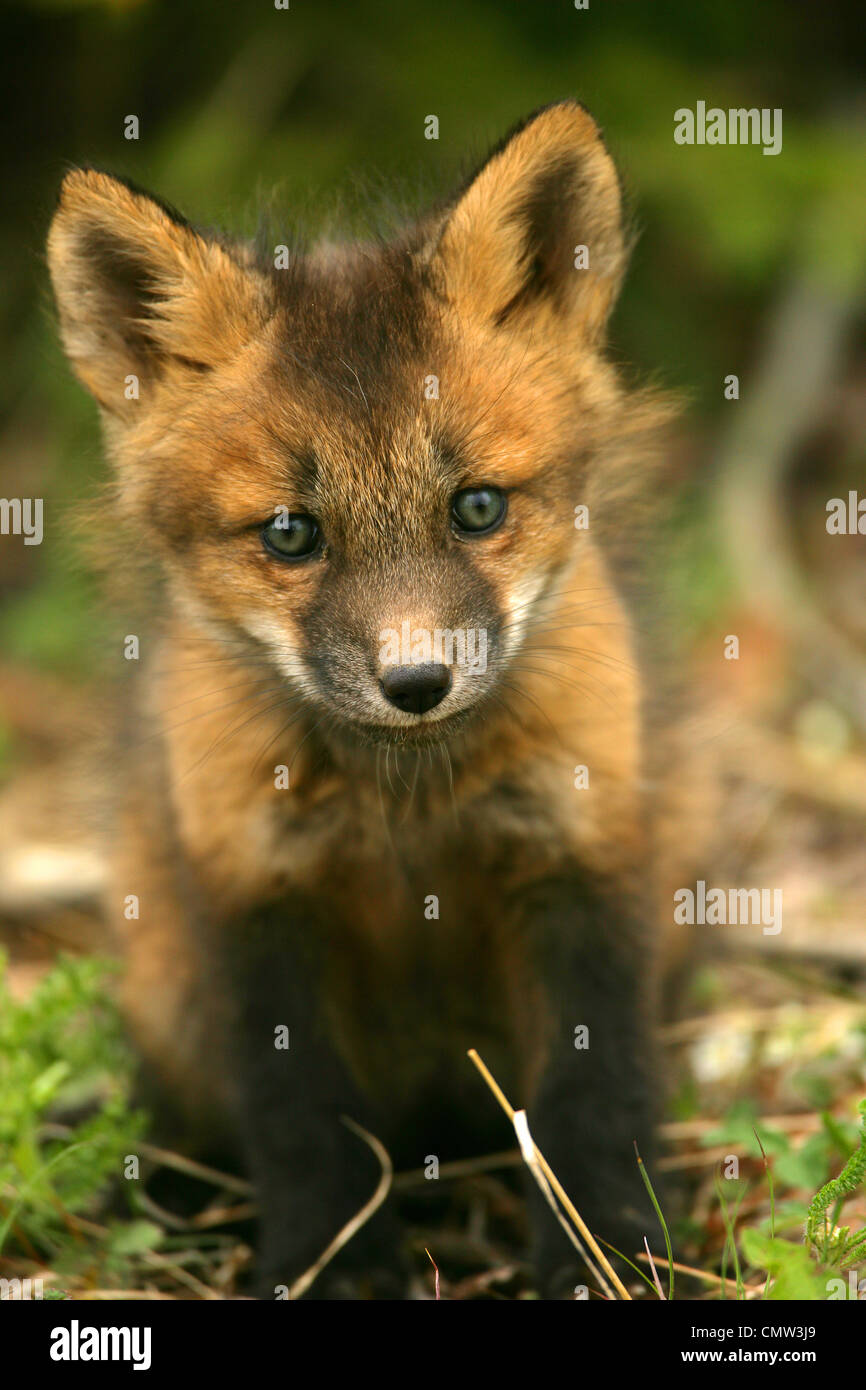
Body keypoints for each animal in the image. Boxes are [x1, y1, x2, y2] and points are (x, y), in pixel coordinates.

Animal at [46, 100, 685, 1298]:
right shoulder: (255, 896)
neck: (407, 803)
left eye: (476, 507)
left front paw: (611, 1250)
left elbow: (596, 1093)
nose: (416, 682)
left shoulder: (578, 859)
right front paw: (330, 1261)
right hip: (166, 988)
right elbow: (300, 1118)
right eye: (292, 533)